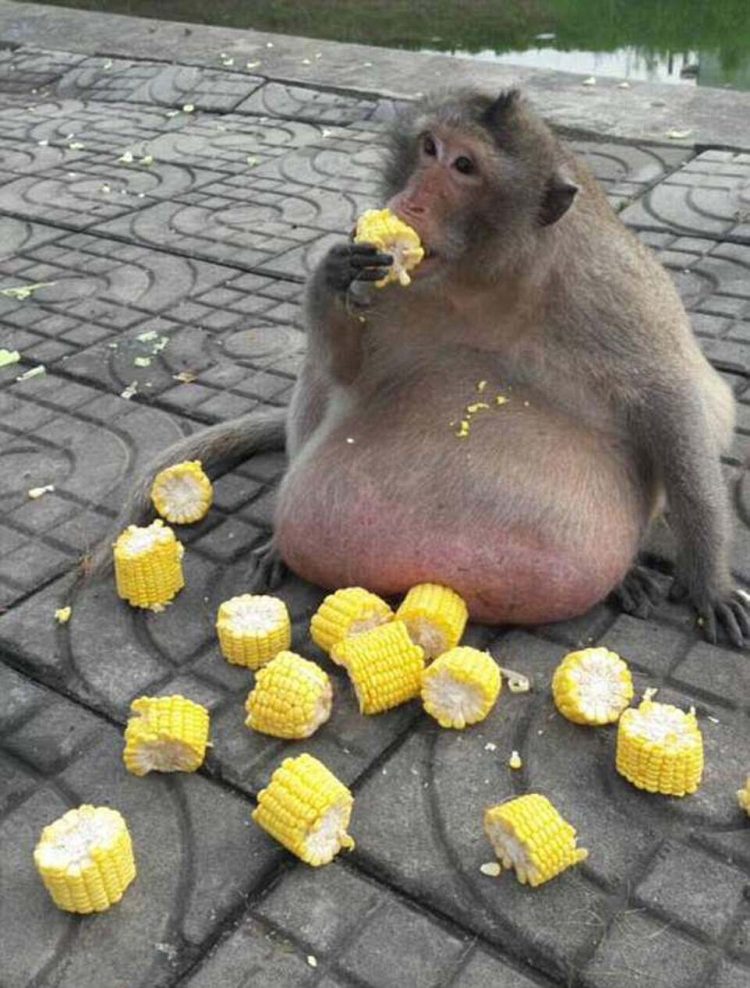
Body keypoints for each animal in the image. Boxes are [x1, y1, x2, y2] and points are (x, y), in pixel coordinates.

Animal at [101, 88, 749, 648]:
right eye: (429, 148)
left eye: (465, 166)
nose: (408, 202)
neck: (482, 276)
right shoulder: (385, 279)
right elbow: (342, 368)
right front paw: (330, 274)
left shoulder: (605, 286)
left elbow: (670, 399)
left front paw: (709, 580)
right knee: (318, 376)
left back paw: (628, 572)